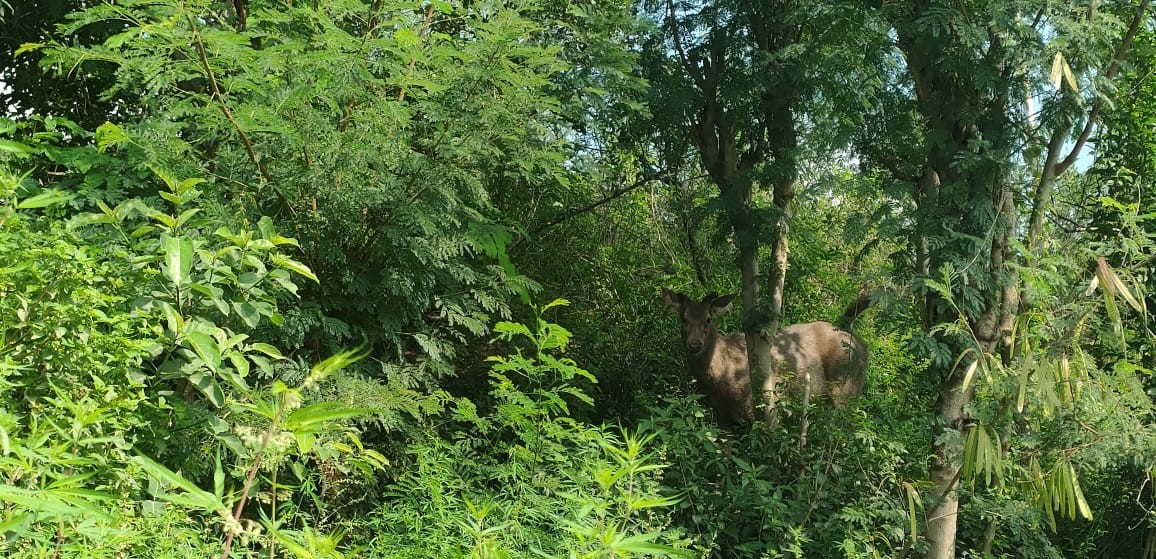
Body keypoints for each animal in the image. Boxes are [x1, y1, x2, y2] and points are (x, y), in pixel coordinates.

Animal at [662, 288, 868, 441]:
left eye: (708, 319)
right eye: (683, 318)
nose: (694, 344)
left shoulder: (754, 407)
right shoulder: (721, 417)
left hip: (847, 388)